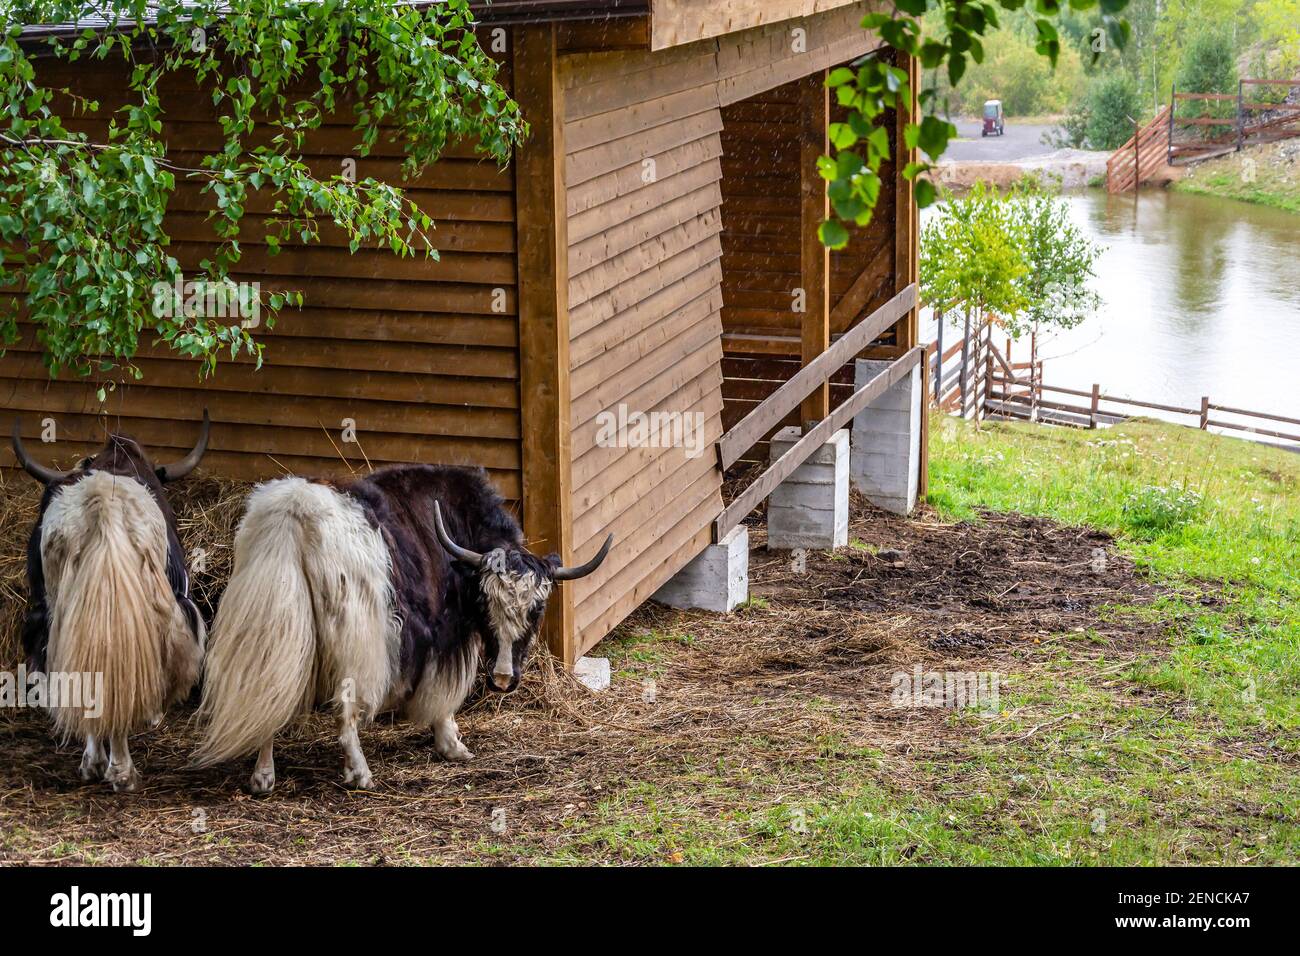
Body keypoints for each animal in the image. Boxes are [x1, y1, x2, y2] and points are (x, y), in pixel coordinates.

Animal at [194, 464, 611, 793]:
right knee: (346, 706)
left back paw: (263, 777)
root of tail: (294, 517)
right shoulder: (445, 637)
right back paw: (360, 773)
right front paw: (452, 745)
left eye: (535, 609)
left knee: (268, 691)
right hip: (355, 638)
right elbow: (442, 694)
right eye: (483, 604)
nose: (504, 679)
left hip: (272, 623)